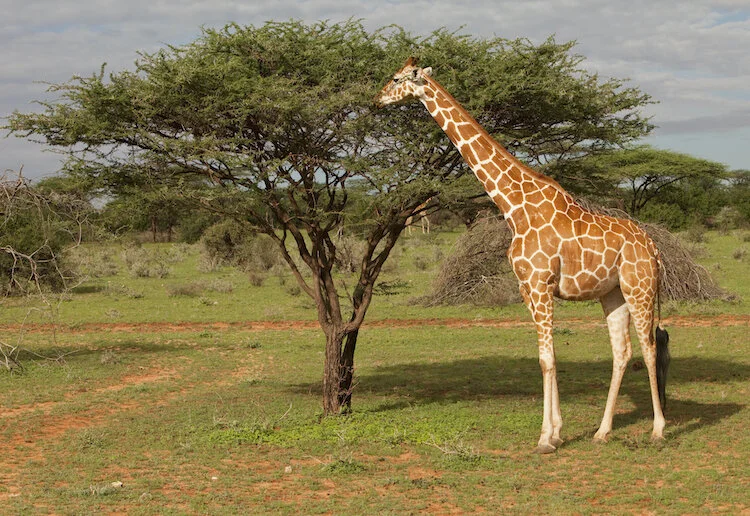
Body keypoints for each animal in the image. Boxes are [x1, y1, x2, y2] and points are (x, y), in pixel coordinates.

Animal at [375, 57, 670, 453]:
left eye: (396, 79)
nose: (376, 98)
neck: (513, 206)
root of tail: (653, 247)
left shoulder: (540, 283)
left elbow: (547, 359)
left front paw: (546, 438)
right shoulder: (527, 288)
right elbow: (546, 358)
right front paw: (555, 432)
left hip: (640, 287)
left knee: (650, 347)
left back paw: (658, 429)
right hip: (613, 293)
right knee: (622, 352)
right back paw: (602, 431)